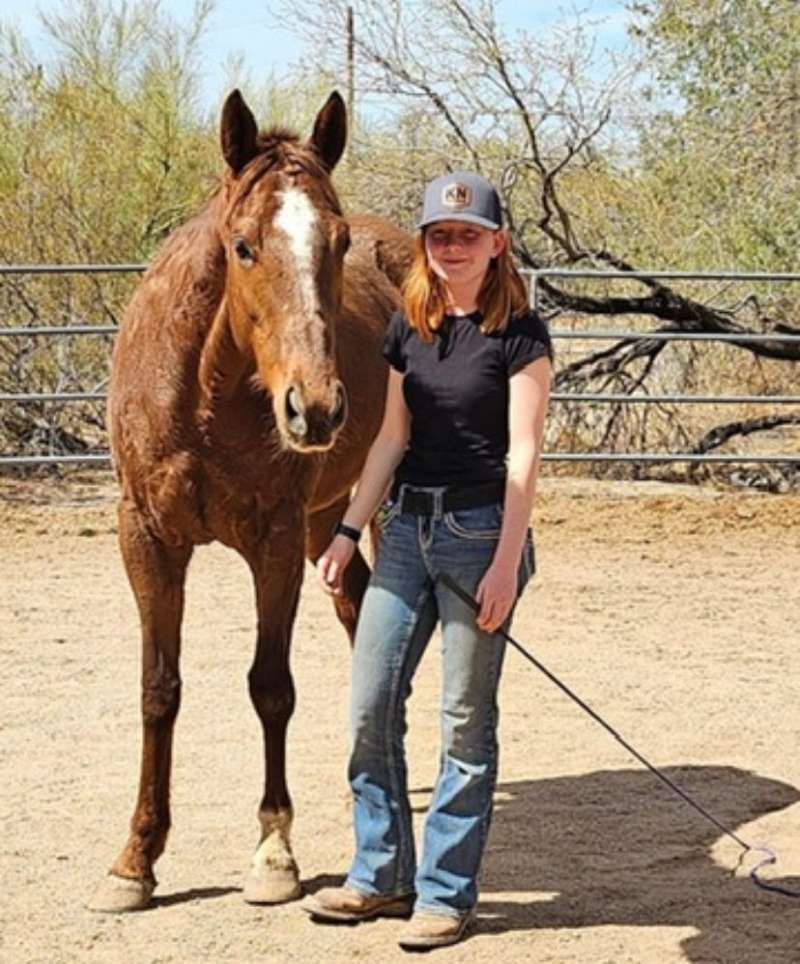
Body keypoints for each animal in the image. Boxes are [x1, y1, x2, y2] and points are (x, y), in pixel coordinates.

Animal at [90, 89, 413, 912]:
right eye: (242, 246)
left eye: (337, 242)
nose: (317, 408)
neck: (202, 395)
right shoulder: (146, 537)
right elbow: (158, 689)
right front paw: (135, 859)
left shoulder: (274, 541)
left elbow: (270, 687)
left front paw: (273, 852)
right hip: (330, 521)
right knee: (358, 609)